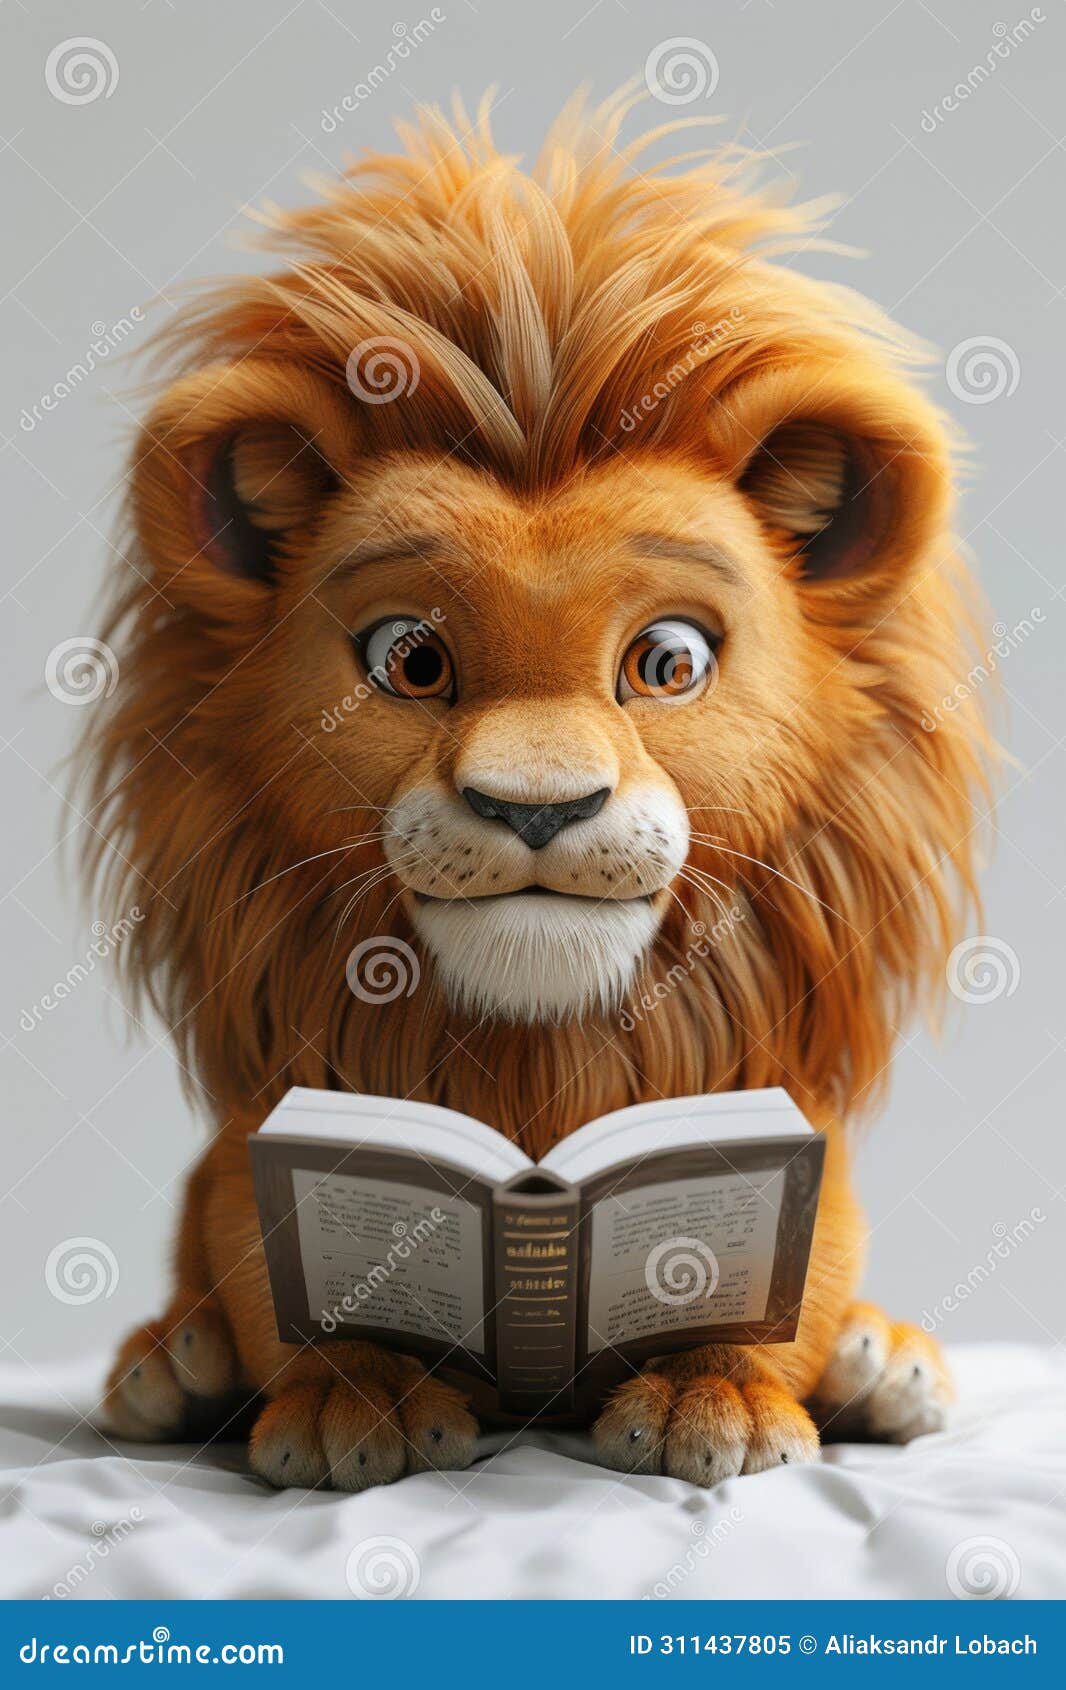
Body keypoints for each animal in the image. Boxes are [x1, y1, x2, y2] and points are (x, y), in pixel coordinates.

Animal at [85, 90, 988, 1489]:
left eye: (666, 661)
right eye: (409, 658)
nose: (536, 807)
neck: (538, 1058)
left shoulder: (789, 1129)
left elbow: (789, 1270)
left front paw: (716, 1394)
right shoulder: (265, 1138)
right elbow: (266, 1257)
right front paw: (353, 1397)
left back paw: (884, 1366)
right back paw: (170, 1368)